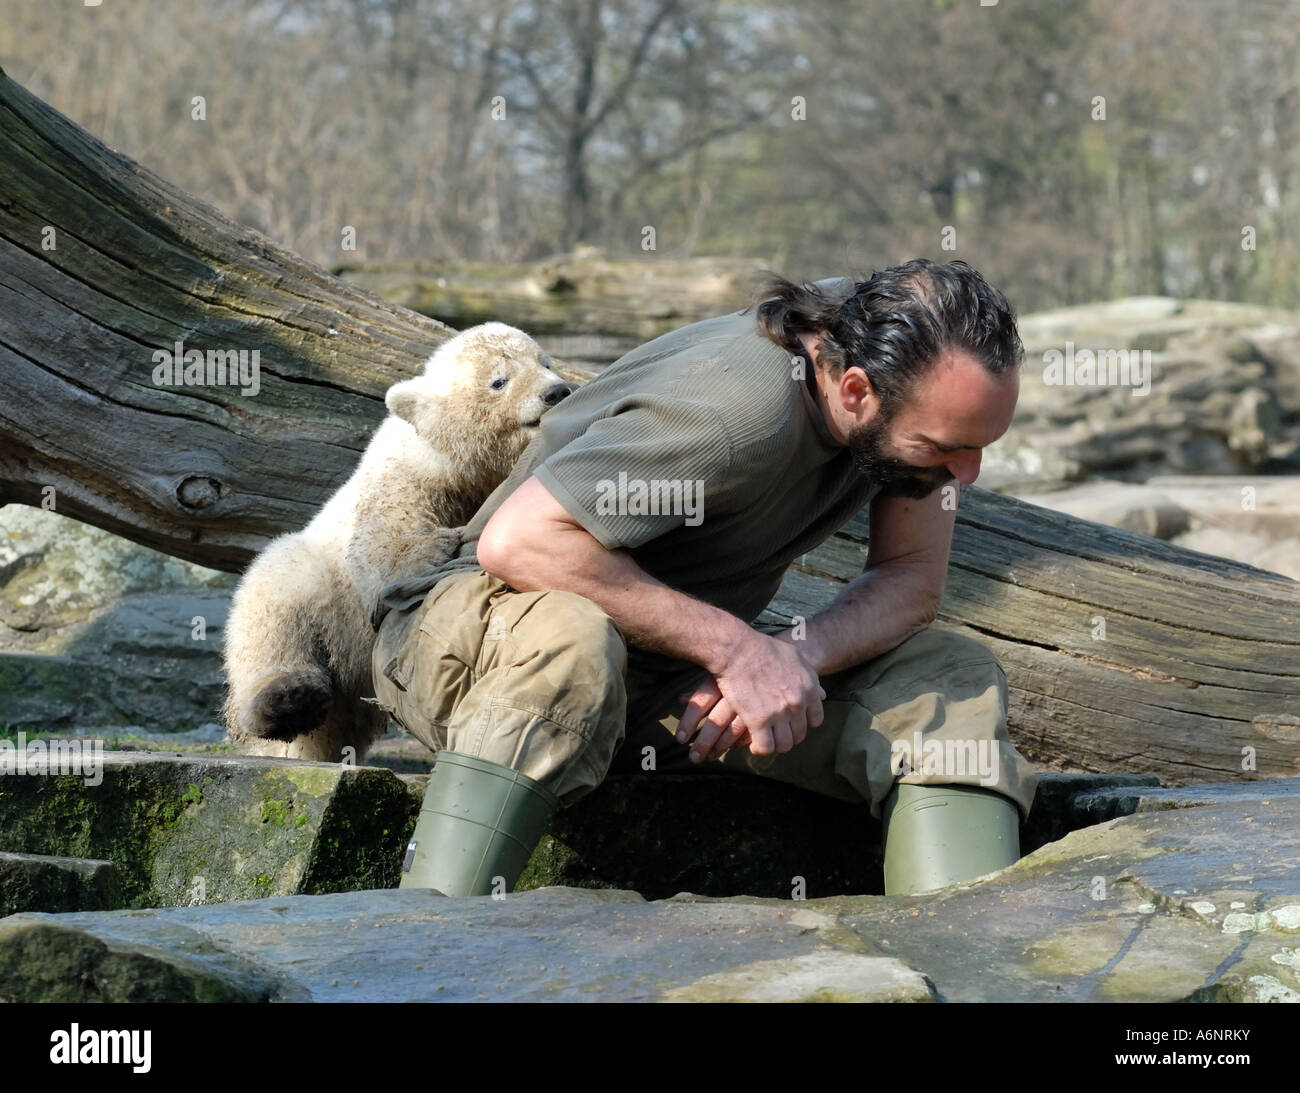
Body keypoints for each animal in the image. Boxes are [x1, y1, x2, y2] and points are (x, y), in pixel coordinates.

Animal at [222, 322, 572, 763]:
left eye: (546, 362)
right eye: (499, 380)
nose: (557, 392)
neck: (469, 465)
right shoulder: (408, 474)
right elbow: (383, 544)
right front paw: (439, 548)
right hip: (323, 590)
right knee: (273, 607)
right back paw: (286, 700)